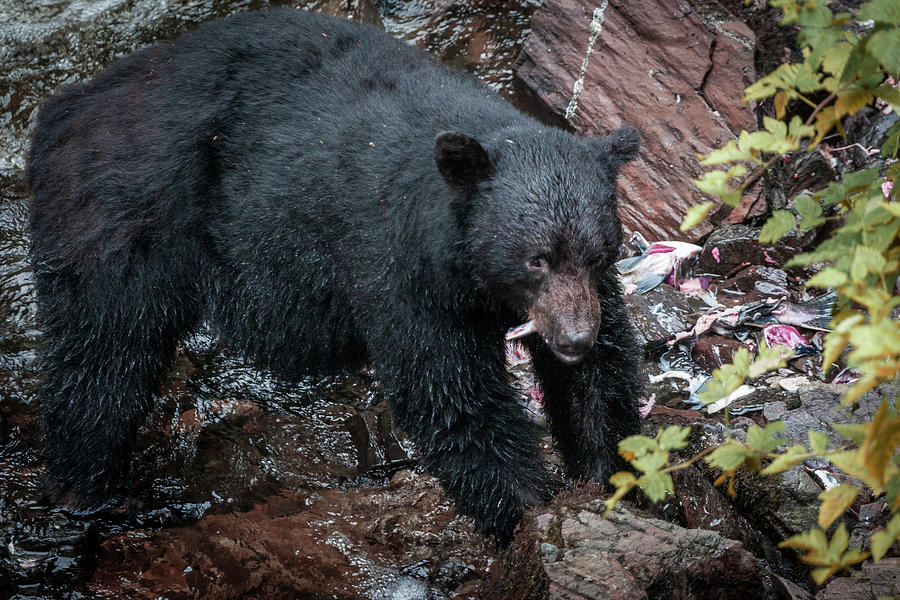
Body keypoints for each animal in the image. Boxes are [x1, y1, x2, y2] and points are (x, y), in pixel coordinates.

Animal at [26, 8, 642, 541]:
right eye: (535, 258)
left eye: (597, 252)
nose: (573, 339)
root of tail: (59, 110)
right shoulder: (400, 274)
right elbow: (454, 398)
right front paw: (529, 515)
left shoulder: (588, 294)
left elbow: (600, 384)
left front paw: (610, 485)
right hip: (122, 223)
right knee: (103, 363)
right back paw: (86, 490)